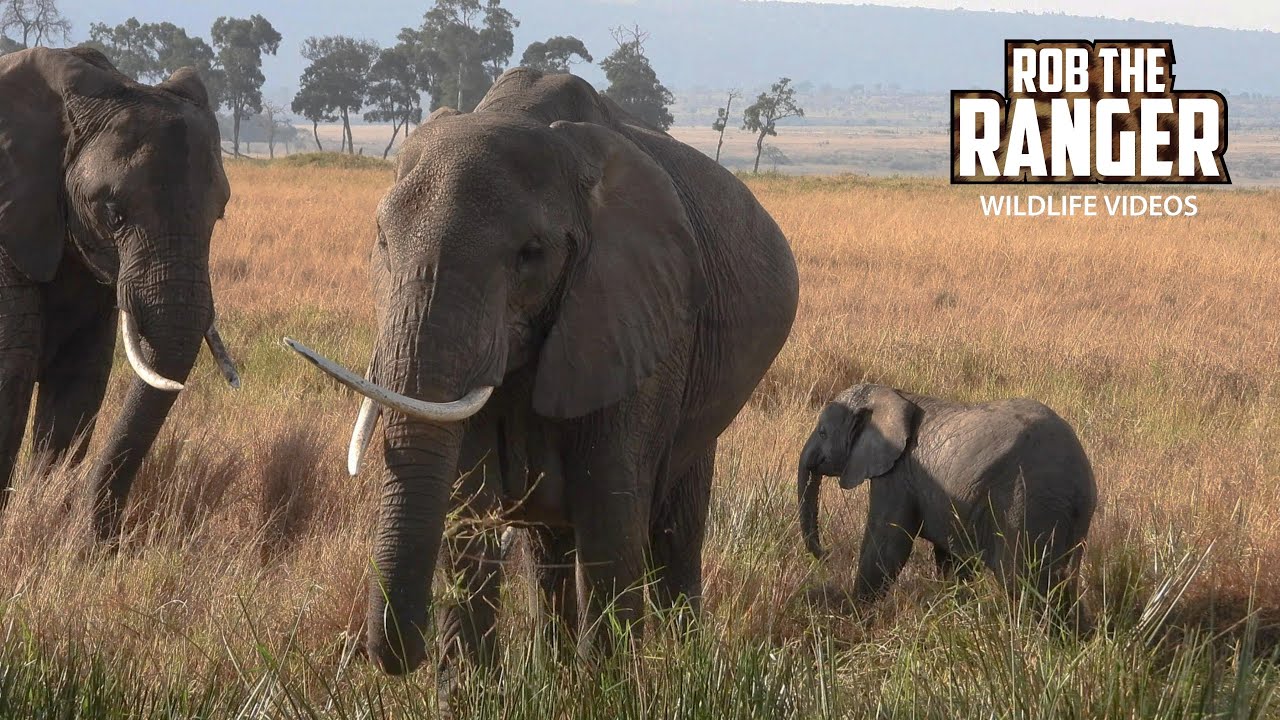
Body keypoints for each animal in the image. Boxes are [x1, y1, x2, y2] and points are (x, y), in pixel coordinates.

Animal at [285, 67, 800, 675]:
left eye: (530, 253)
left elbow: (610, 520)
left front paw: (607, 688)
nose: (397, 657)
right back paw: (554, 667)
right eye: (382, 241)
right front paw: (470, 688)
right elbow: (467, 506)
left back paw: (684, 661)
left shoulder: (637, 315)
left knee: (674, 531)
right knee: (548, 544)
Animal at [798, 384, 1096, 620]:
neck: (894, 394)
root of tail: (1078, 481)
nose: (827, 554)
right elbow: (951, 558)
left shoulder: (898, 475)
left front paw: (853, 614)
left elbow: (887, 546)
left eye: (822, 433)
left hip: (1025, 504)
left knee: (1024, 582)